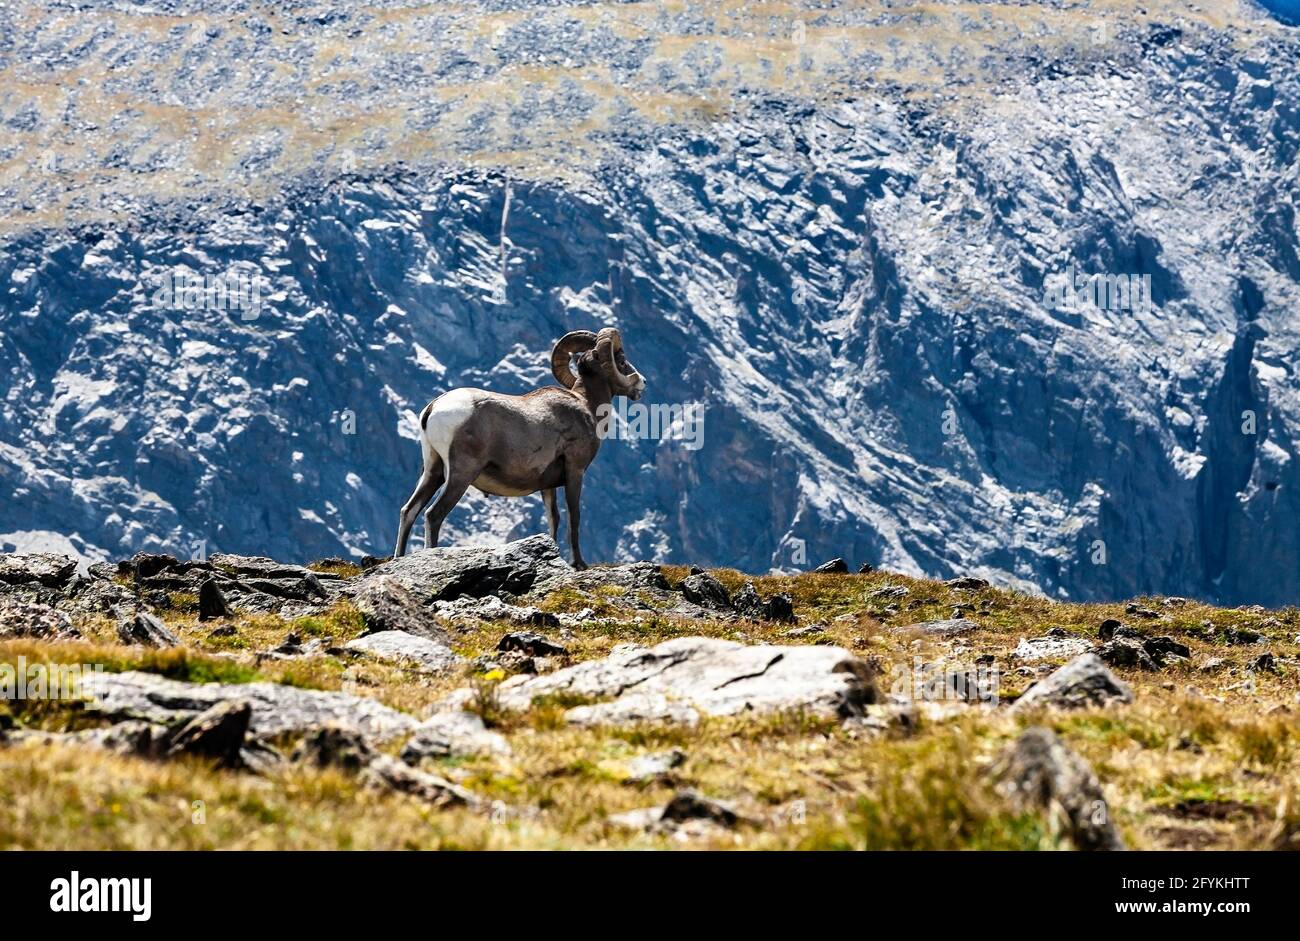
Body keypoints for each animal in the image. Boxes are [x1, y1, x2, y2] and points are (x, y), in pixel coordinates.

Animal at [393, 327, 646, 568]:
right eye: (621, 360)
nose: (642, 382)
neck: (587, 406)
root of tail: (434, 407)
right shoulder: (575, 471)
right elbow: (574, 516)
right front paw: (578, 564)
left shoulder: (548, 485)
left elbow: (553, 518)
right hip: (460, 474)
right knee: (433, 515)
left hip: (433, 471)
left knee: (409, 511)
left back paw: (399, 557)